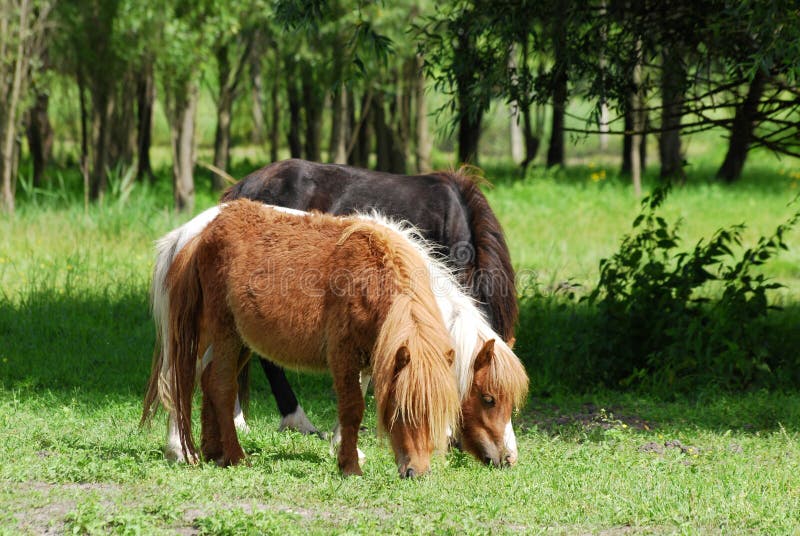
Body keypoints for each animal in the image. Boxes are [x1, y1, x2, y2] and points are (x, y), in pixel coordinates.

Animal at [145, 204, 529, 467]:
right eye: (489, 399)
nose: (508, 459)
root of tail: (187, 234)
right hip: (200, 337)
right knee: (179, 379)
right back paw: (181, 450)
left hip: (236, 341)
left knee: (207, 380)